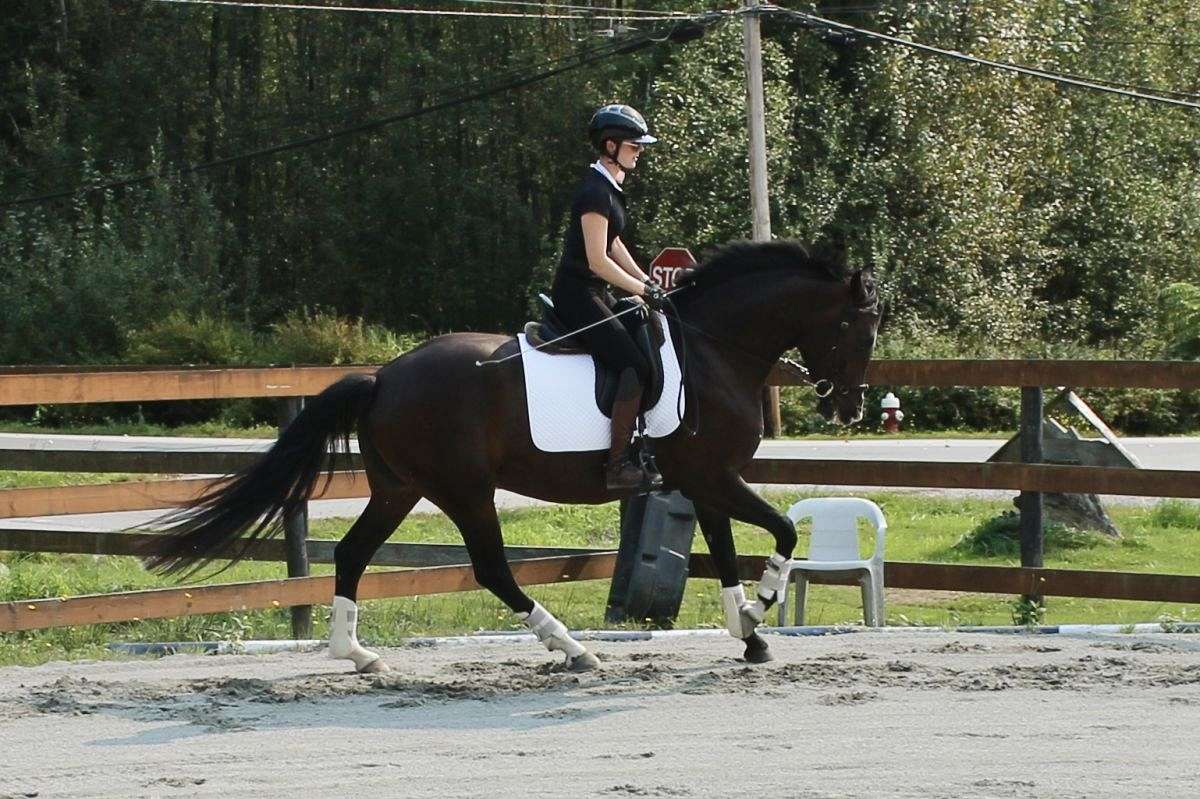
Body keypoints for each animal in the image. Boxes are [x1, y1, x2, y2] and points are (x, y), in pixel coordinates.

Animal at [143, 240, 881, 672]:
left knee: (353, 553)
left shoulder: (704, 479)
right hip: (464, 490)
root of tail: (383, 377)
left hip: (399, 488)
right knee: (492, 568)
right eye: (856, 325)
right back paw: (572, 648)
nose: (850, 408)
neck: (713, 349)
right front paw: (761, 608)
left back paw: (356, 653)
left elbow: (728, 554)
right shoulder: (713, 475)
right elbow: (781, 532)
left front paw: (749, 632)